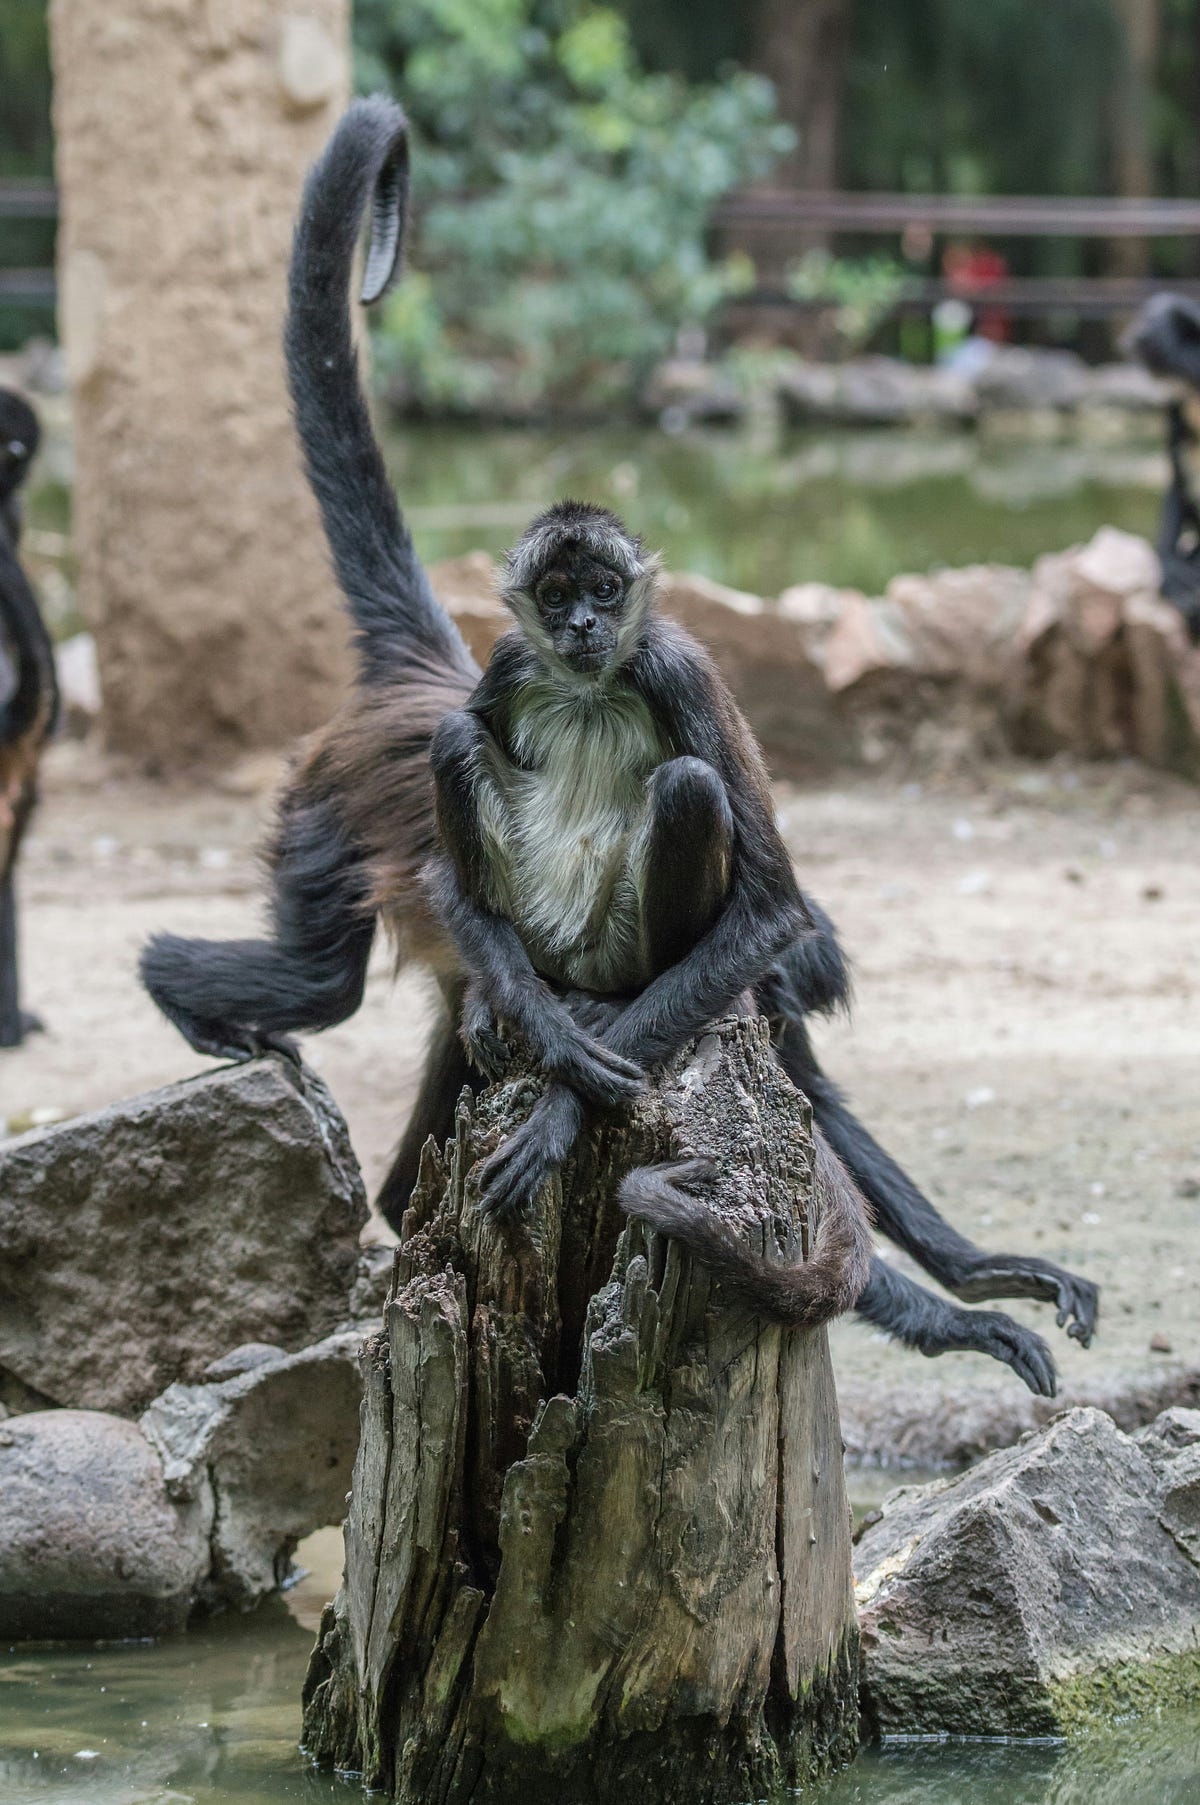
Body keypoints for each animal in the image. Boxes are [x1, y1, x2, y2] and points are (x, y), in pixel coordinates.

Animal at [141, 97, 1097, 1396]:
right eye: (570, 594)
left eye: (792, 1010)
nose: (588, 618)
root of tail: (420, 673)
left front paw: (984, 1273)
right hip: (325, 820)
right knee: (330, 968)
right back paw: (190, 992)